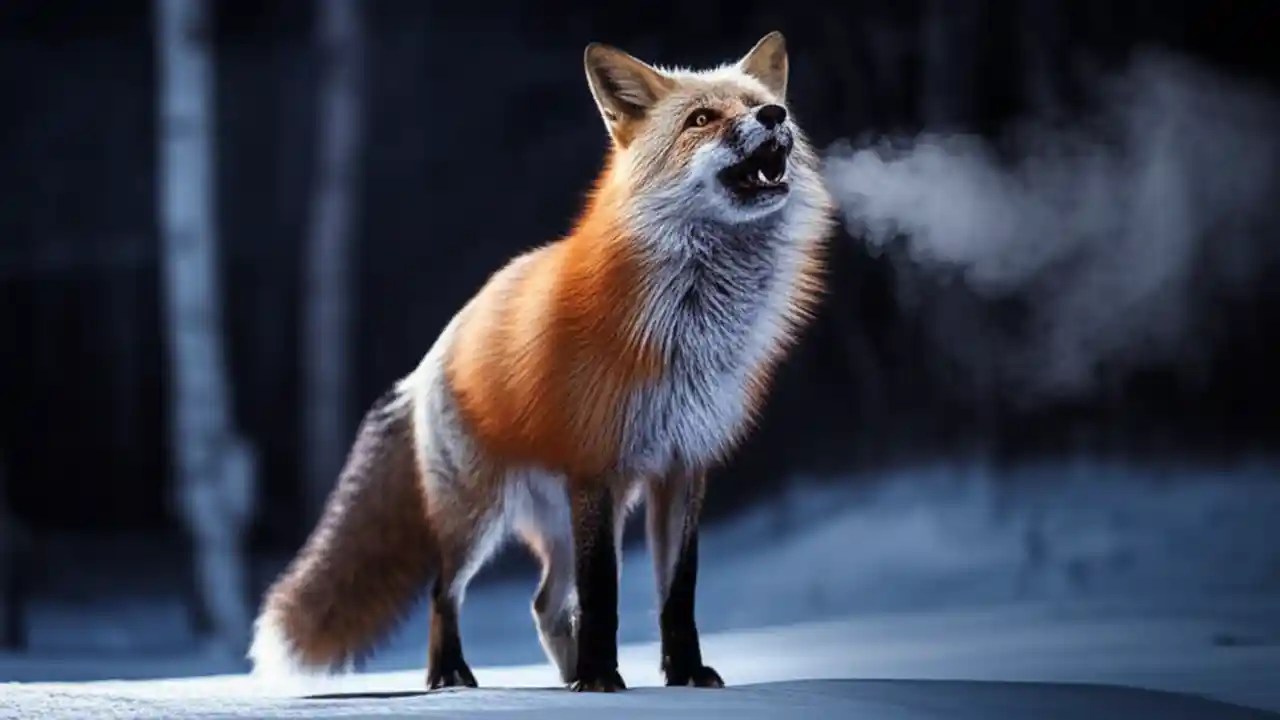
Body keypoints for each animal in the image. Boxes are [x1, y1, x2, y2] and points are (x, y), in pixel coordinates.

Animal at [248, 31, 834, 693]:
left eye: (756, 104)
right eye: (702, 120)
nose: (775, 115)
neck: (689, 326)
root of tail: (433, 354)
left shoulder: (682, 468)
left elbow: (676, 596)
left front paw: (680, 673)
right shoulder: (596, 467)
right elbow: (602, 593)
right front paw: (601, 680)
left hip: (562, 517)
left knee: (545, 603)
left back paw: (565, 672)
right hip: (478, 516)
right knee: (445, 589)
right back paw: (452, 674)